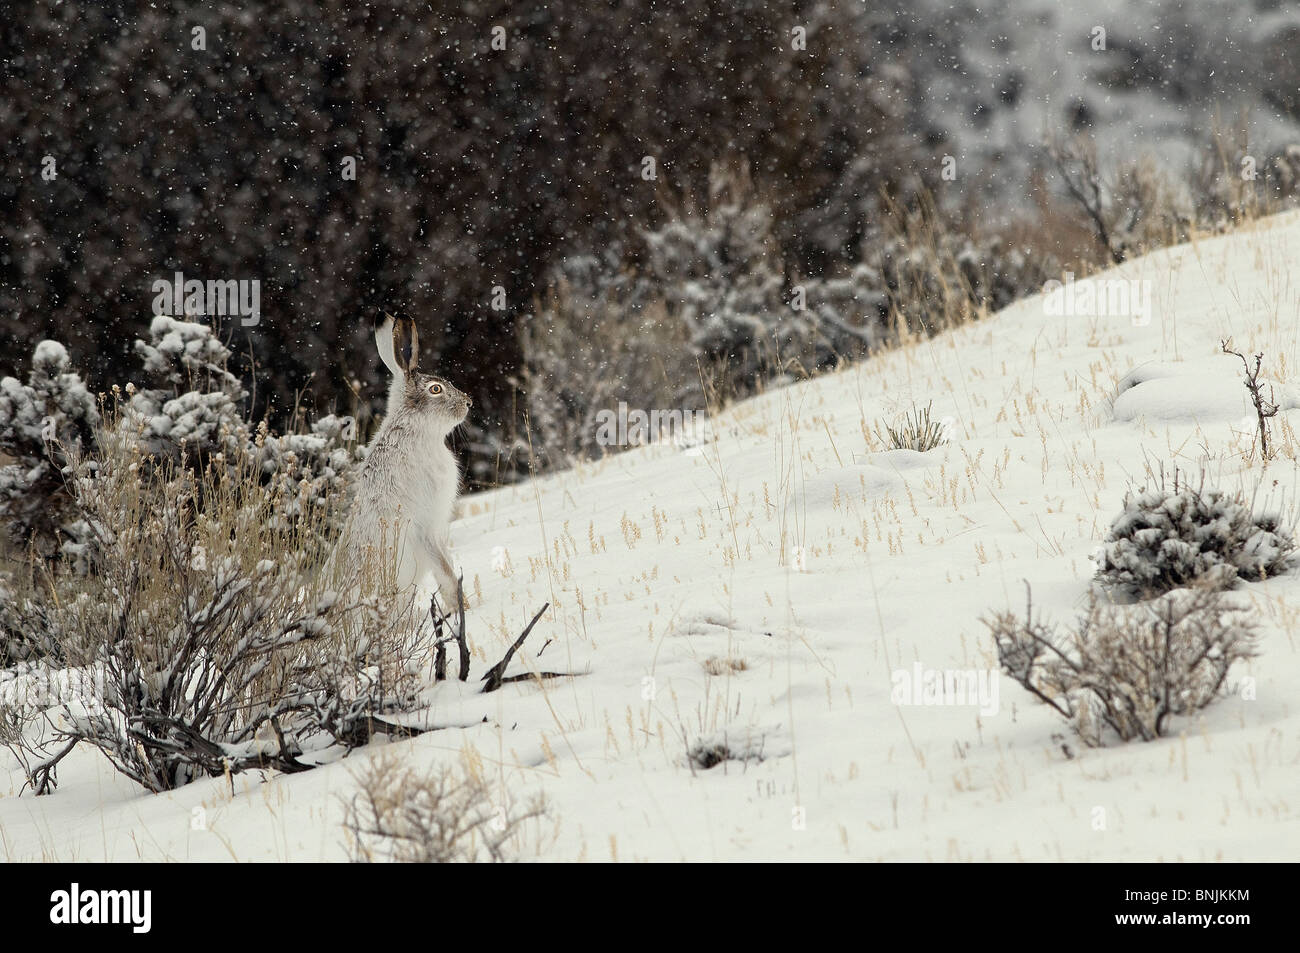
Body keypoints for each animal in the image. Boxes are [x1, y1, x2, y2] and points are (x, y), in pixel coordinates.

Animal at [343, 313, 471, 604]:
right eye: (436, 389)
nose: (468, 402)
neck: (415, 431)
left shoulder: (438, 529)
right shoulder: (425, 527)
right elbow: (446, 573)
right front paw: (461, 607)